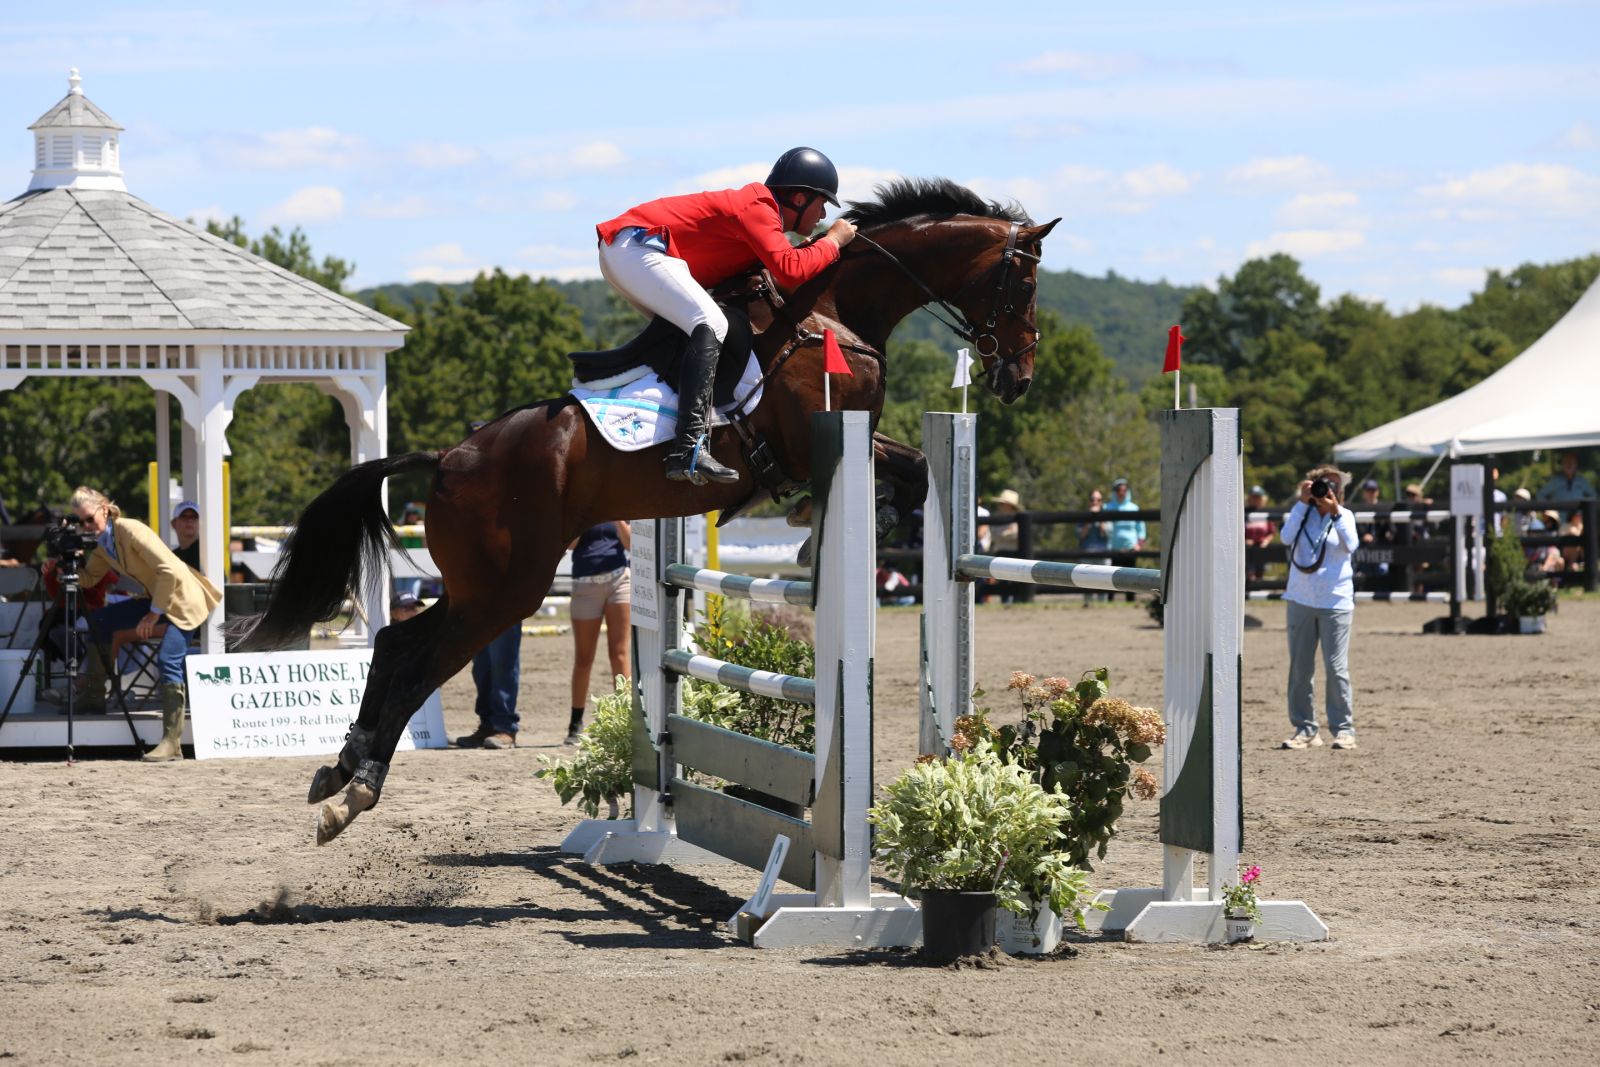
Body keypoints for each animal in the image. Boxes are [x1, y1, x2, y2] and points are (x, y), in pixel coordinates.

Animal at [241, 178, 1059, 844]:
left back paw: (340, 765)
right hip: (507, 589)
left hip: (483, 584)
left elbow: (916, 468)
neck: (834, 311)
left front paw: (852, 526)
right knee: (419, 663)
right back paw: (357, 792)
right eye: (1023, 284)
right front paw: (847, 526)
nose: (1018, 378)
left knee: (392, 642)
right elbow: (906, 470)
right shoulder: (814, 438)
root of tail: (448, 458)